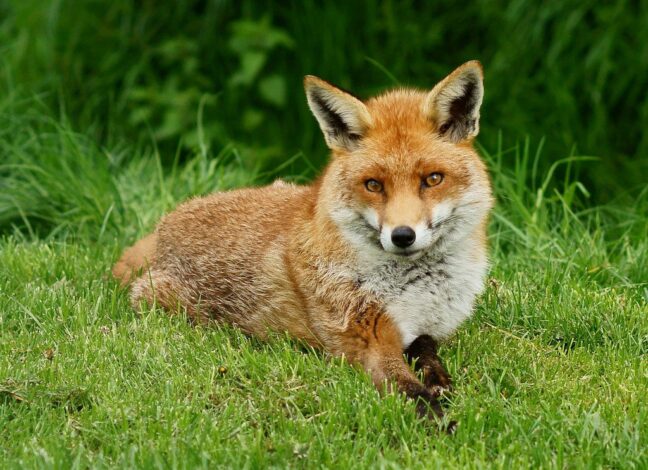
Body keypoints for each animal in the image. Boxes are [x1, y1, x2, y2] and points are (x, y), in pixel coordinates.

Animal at [113, 60, 494, 422]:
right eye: (373, 185)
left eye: (433, 179)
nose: (402, 236)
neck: (418, 291)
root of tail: (165, 223)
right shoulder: (364, 339)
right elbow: (408, 389)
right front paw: (441, 421)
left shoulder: (425, 329)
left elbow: (427, 352)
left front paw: (441, 383)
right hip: (164, 303)